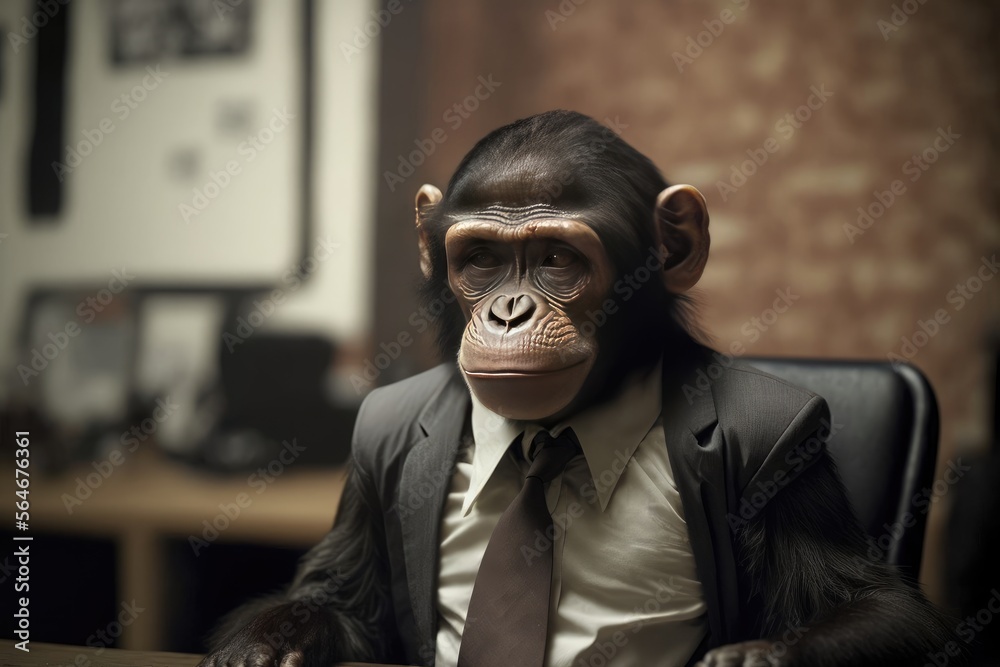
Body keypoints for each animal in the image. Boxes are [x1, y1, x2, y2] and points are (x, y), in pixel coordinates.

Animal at [200, 110, 960, 667]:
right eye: (482, 259)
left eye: (557, 259)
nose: (509, 312)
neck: (554, 436)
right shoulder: (373, 449)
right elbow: (343, 600)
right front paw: (266, 642)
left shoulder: (786, 447)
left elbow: (879, 606)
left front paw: (757, 658)